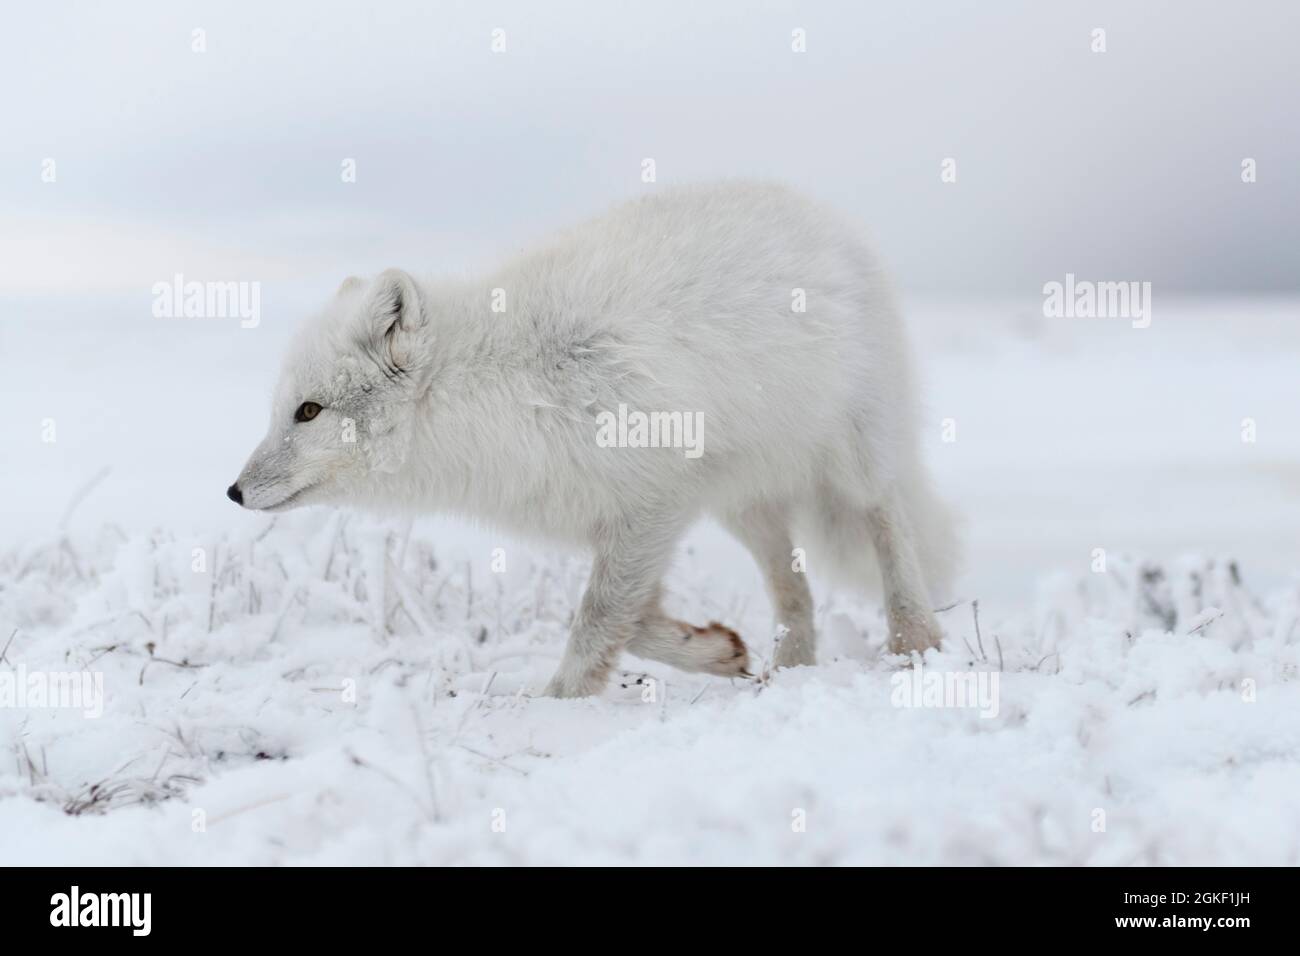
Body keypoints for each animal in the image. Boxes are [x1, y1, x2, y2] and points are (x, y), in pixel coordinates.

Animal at [228, 182, 958, 697]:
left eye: (308, 411)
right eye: (283, 410)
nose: (233, 491)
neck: (499, 385)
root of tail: (827, 217)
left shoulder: (652, 505)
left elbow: (600, 618)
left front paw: (560, 705)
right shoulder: (621, 518)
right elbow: (633, 625)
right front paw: (716, 651)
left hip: (853, 456)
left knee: (887, 524)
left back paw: (914, 640)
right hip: (741, 501)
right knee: (796, 594)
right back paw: (790, 670)